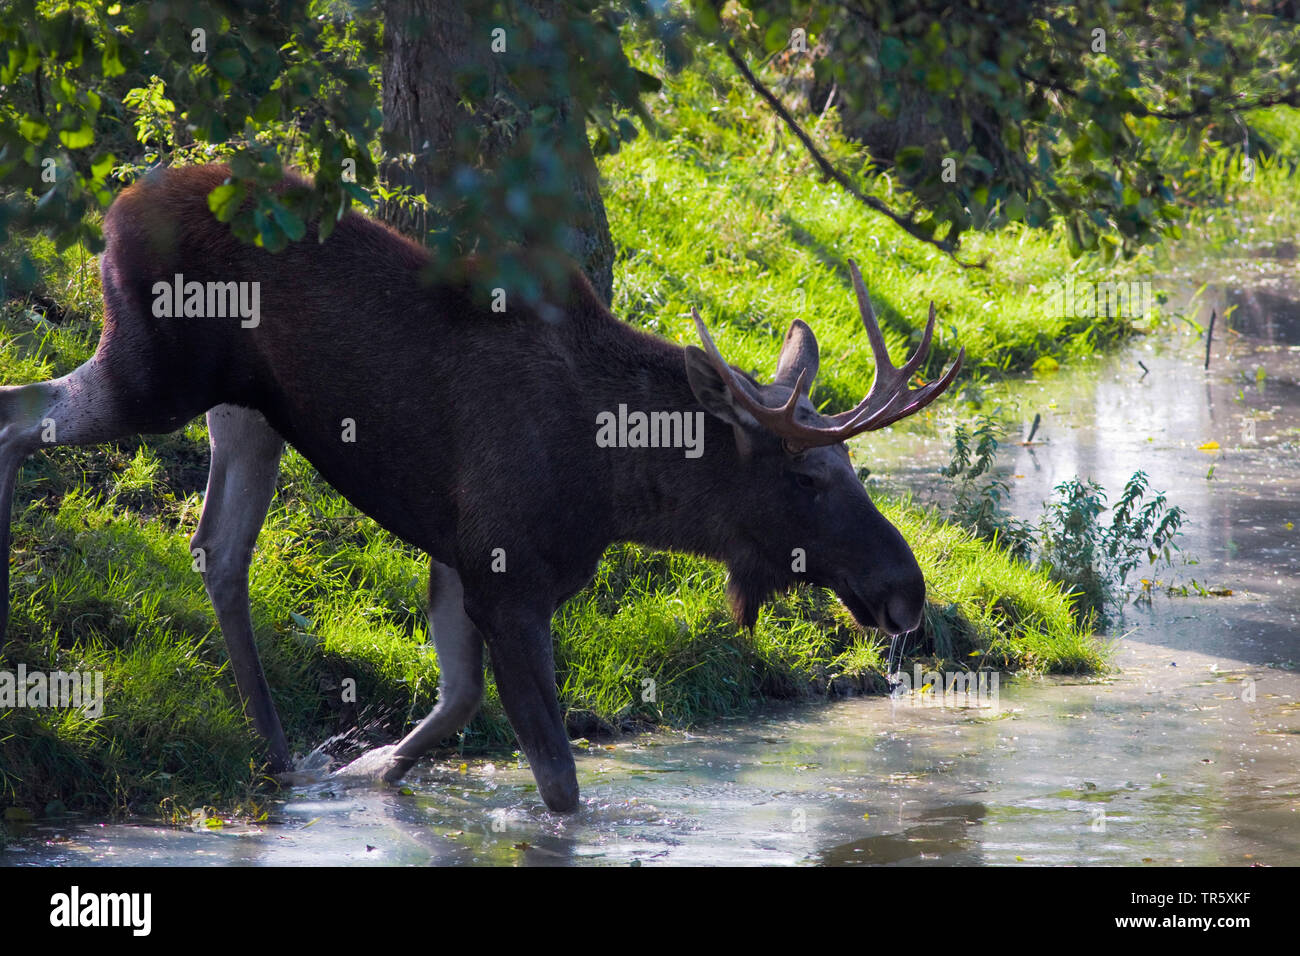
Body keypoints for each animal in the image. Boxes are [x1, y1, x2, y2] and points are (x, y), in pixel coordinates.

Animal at [0, 164, 961, 812]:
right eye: (807, 475)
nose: (907, 591)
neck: (621, 492)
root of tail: (116, 205)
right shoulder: (508, 575)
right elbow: (558, 777)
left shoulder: (460, 557)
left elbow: (456, 700)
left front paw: (367, 769)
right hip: (155, 372)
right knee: (21, 411)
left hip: (246, 409)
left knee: (216, 549)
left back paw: (279, 755)